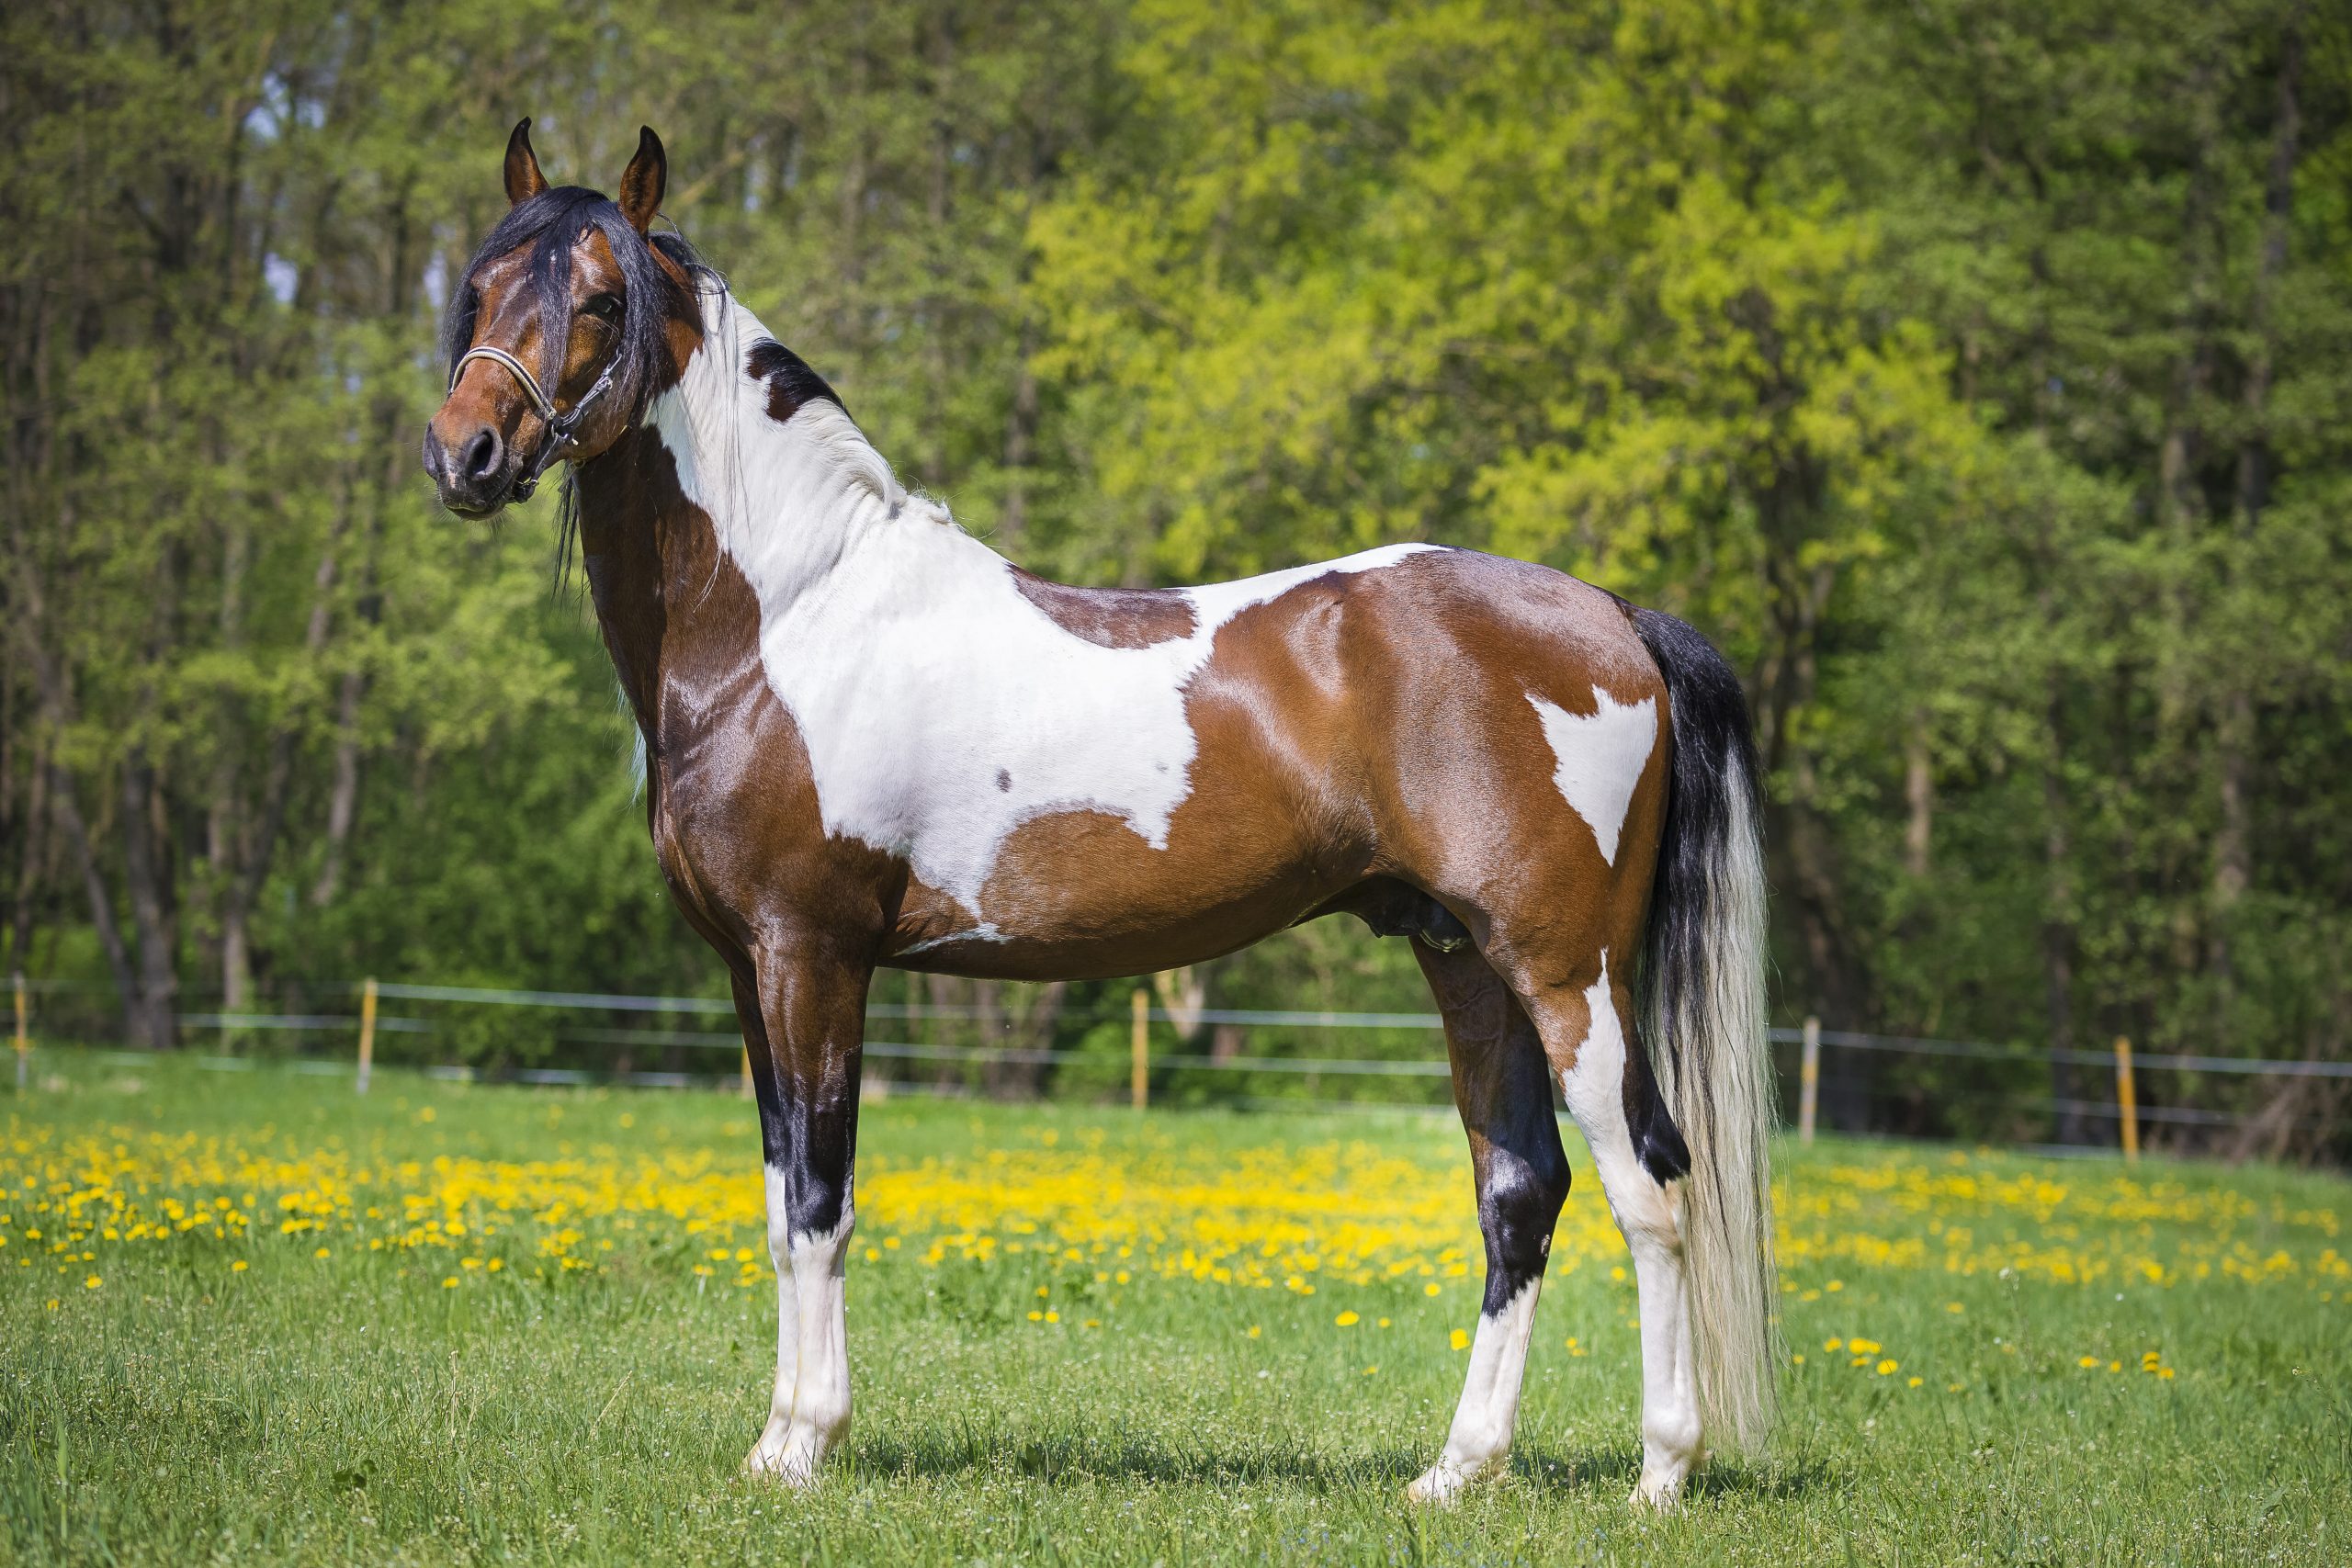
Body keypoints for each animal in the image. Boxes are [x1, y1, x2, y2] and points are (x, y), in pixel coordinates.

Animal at [424, 121, 1778, 1508]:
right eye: (479, 286)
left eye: (601, 300)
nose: (463, 455)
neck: (791, 618)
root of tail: (1613, 616)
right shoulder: (753, 972)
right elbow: (777, 1199)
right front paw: (772, 1443)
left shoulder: (814, 955)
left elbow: (819, 1200)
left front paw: (804, 1442)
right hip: (1467, 960)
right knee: (1519, 1191)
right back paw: (1455, 1472)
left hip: (1569, 973)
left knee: (1650, 1185)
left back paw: (1660, 1475)